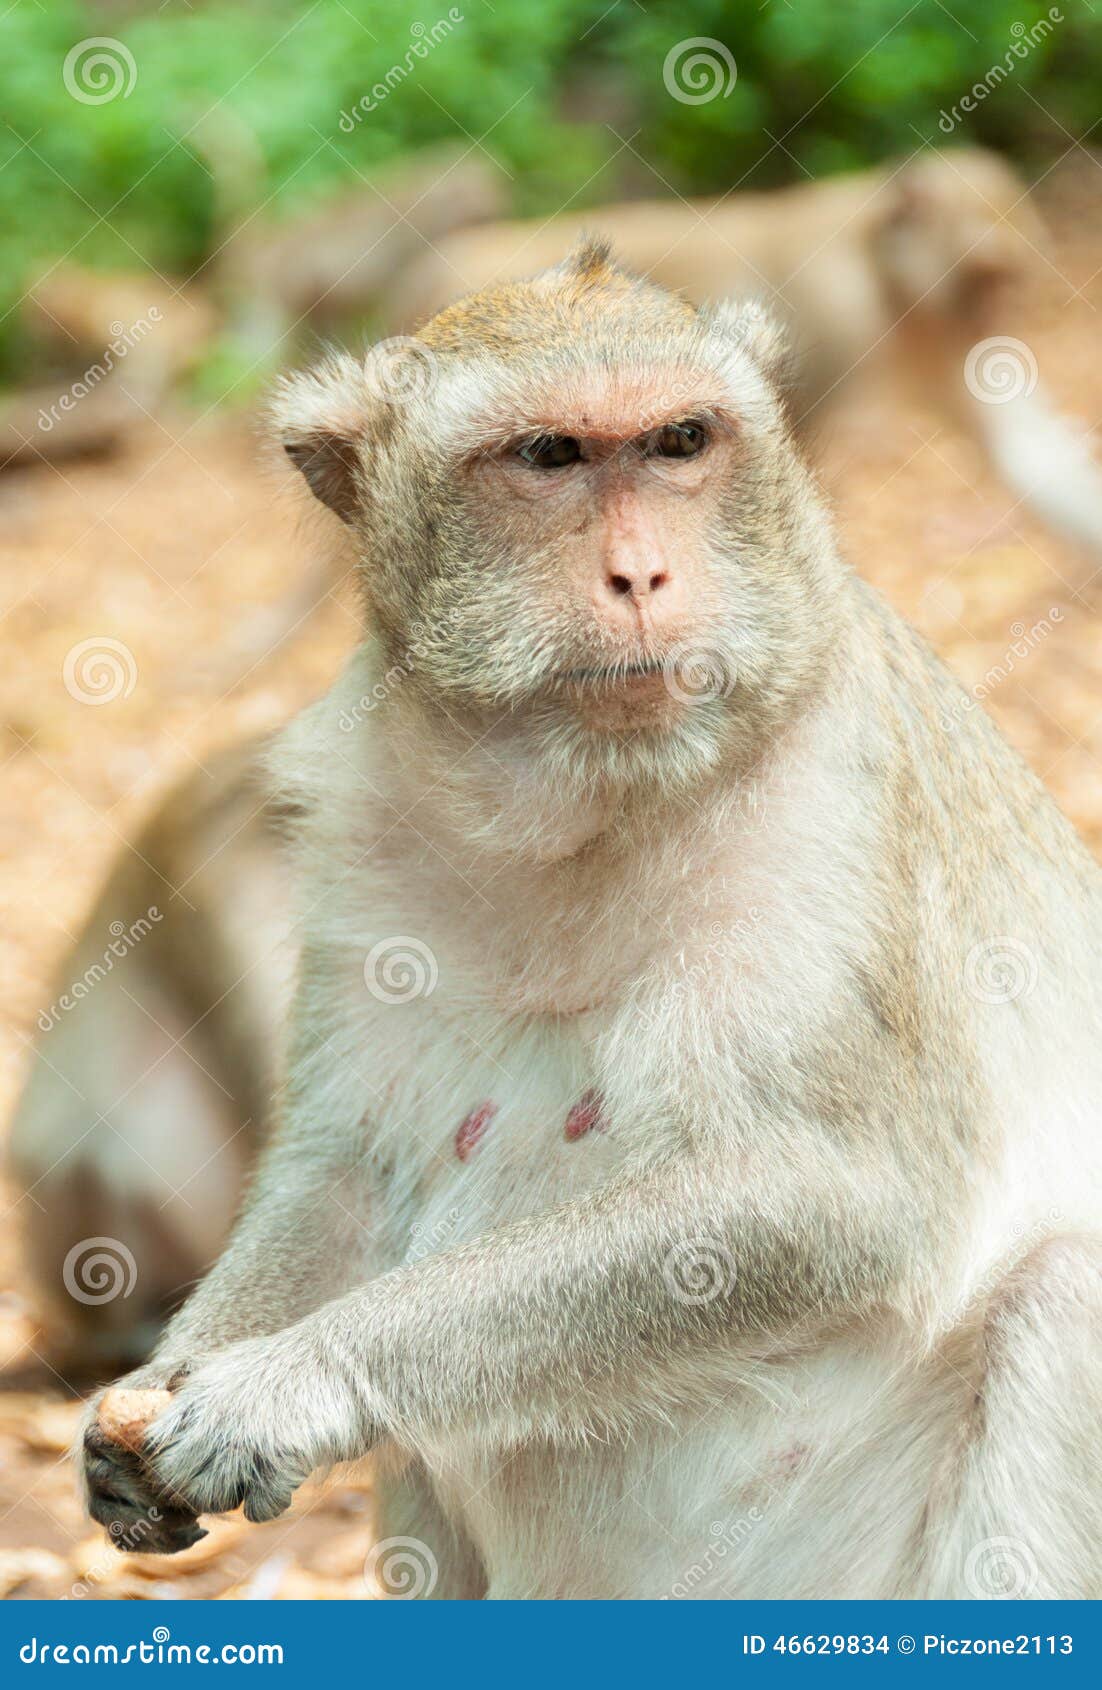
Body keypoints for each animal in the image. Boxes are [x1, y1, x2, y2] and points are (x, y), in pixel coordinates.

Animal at [66, 241, 1102, 1596]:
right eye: (548, 455)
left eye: (679, 441)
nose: (641, 575)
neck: (585, 807)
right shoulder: (355, 822)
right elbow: (340, 1175)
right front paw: (149, 1398)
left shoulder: (844, 797)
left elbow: (841, 1196)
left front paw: (300, 1377)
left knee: (1064, 1290)